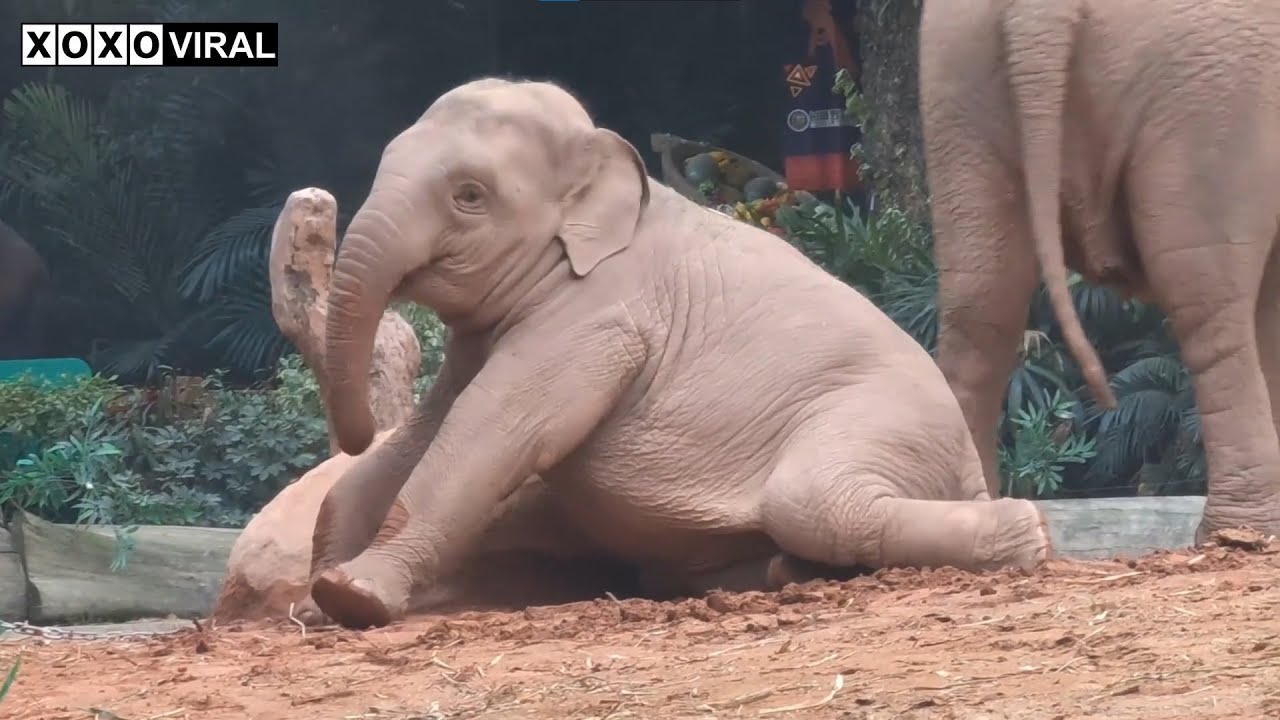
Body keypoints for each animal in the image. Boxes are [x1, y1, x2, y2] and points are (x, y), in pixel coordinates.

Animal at [306, 76, 1051, 629]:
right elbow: (425, 432)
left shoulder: (596, 319)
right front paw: (318, 590)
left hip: (883, 425)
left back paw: (1026, 534)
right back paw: (785, 574)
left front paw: (354, 595)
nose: (354, 430)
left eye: (469, 196)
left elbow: (487, 435)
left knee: (813, 502)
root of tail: (970, 465)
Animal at [920, 0, 1280, 538]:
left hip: (956, 87)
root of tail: (1036, 10)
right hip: (1210, 99)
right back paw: (1248, 536)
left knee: (979, 311)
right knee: (1209, 304)